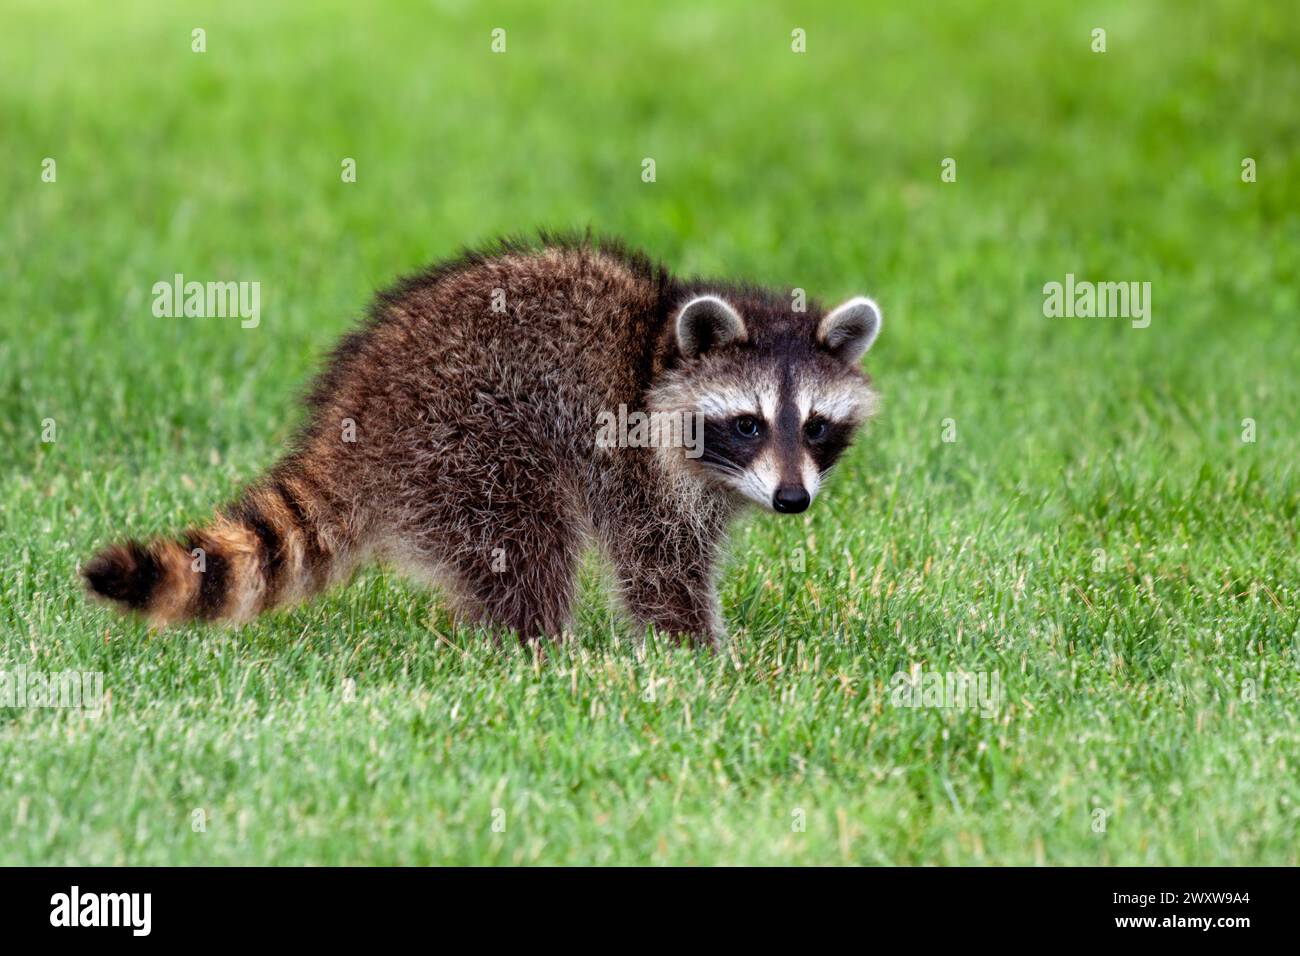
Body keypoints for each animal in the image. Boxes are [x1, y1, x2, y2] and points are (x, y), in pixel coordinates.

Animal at [83, 235, 882, 647]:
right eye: (748, 423)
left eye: (815, 426)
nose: (792, 500)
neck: (657, 347)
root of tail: (353, 411)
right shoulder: (630, 458)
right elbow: (659, 563)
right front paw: (700, 653)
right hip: (467, 436)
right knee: (526, 536)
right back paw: (540, 647)